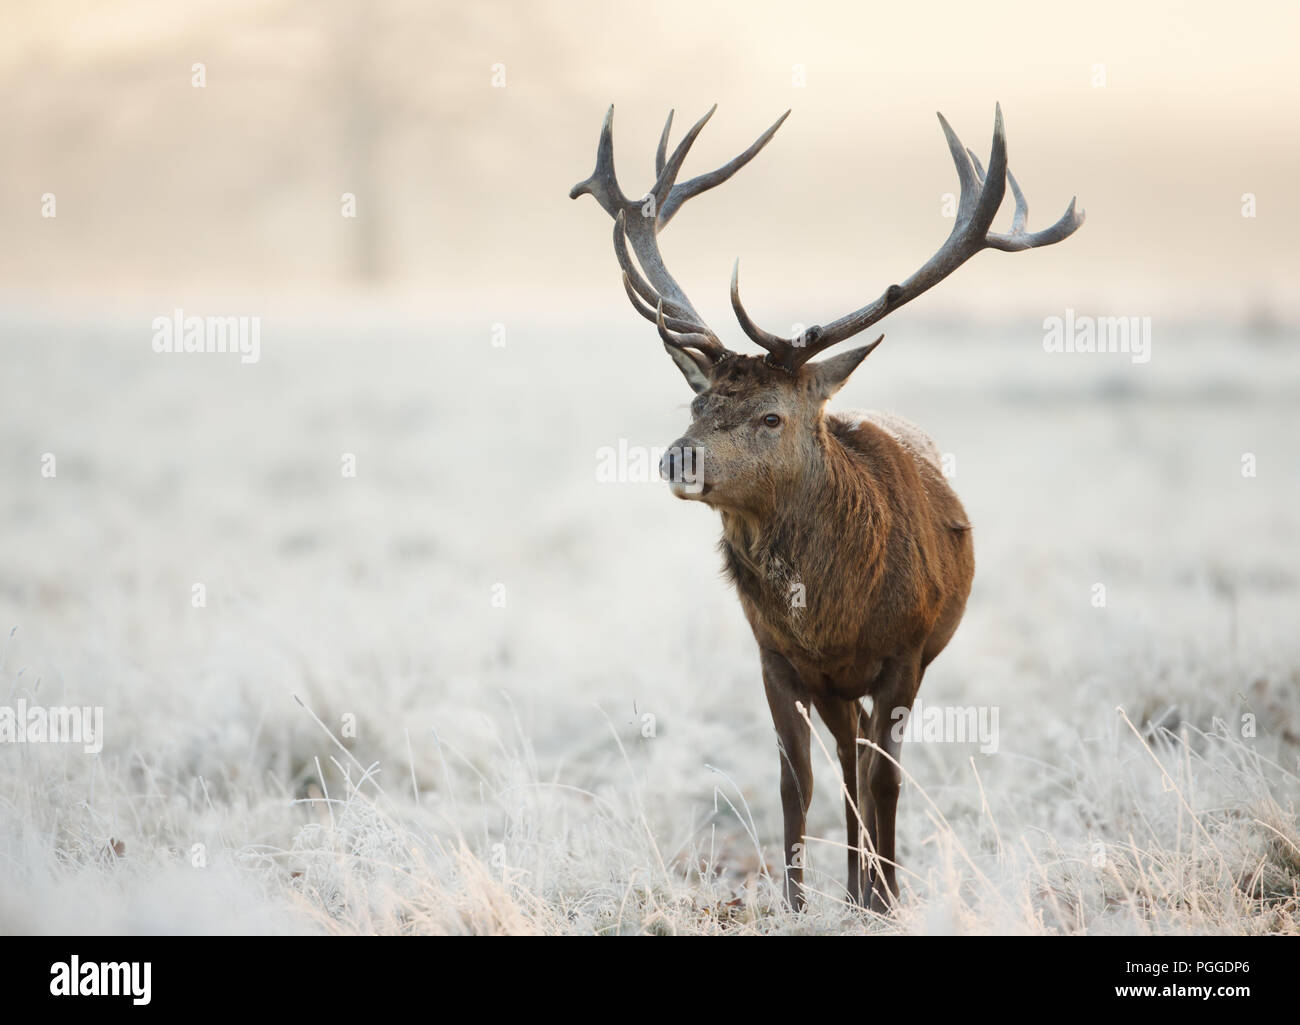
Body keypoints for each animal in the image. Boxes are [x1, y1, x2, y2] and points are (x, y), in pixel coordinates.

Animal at [570, 103, 1083, 912]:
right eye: (698, 402)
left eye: (771, 416)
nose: (678, 458)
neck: (830, 614)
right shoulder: (775, 657)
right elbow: (796, 782)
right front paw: (797, 901)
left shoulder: (905, 652)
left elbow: (886, 779)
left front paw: (888, 900)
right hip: (836, 688)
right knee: (844, 761)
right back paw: (852, 881)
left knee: (868, 765)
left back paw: (874, 883)